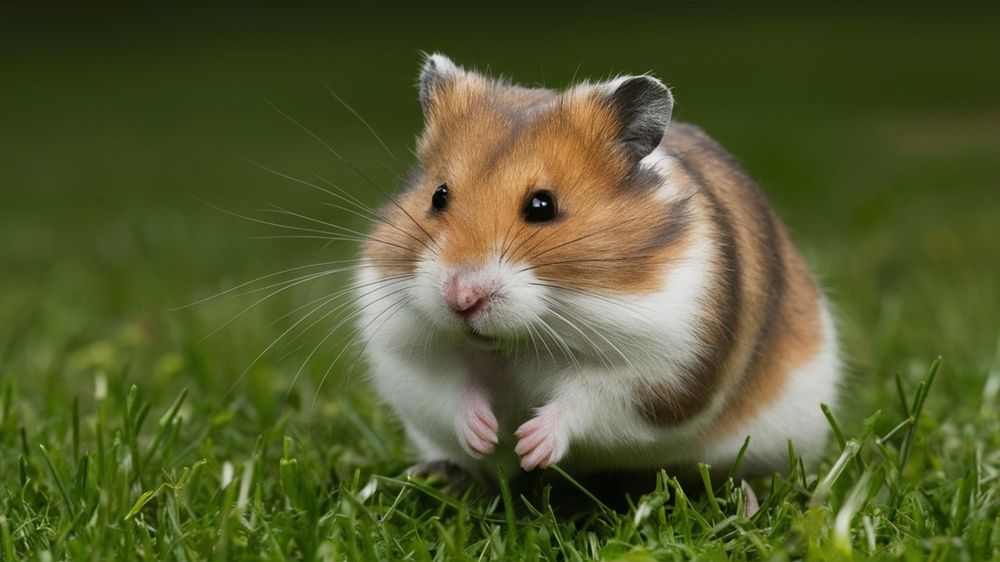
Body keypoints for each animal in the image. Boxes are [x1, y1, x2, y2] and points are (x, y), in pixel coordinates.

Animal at [355, 54, 840, 483]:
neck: (519, 340)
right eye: (438, 196)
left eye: (542, 206)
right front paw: (487, 439)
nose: (461, 298)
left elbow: (591, 401)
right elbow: (448, 389)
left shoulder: (663, 372)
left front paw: (530, 448)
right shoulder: (405, 357)